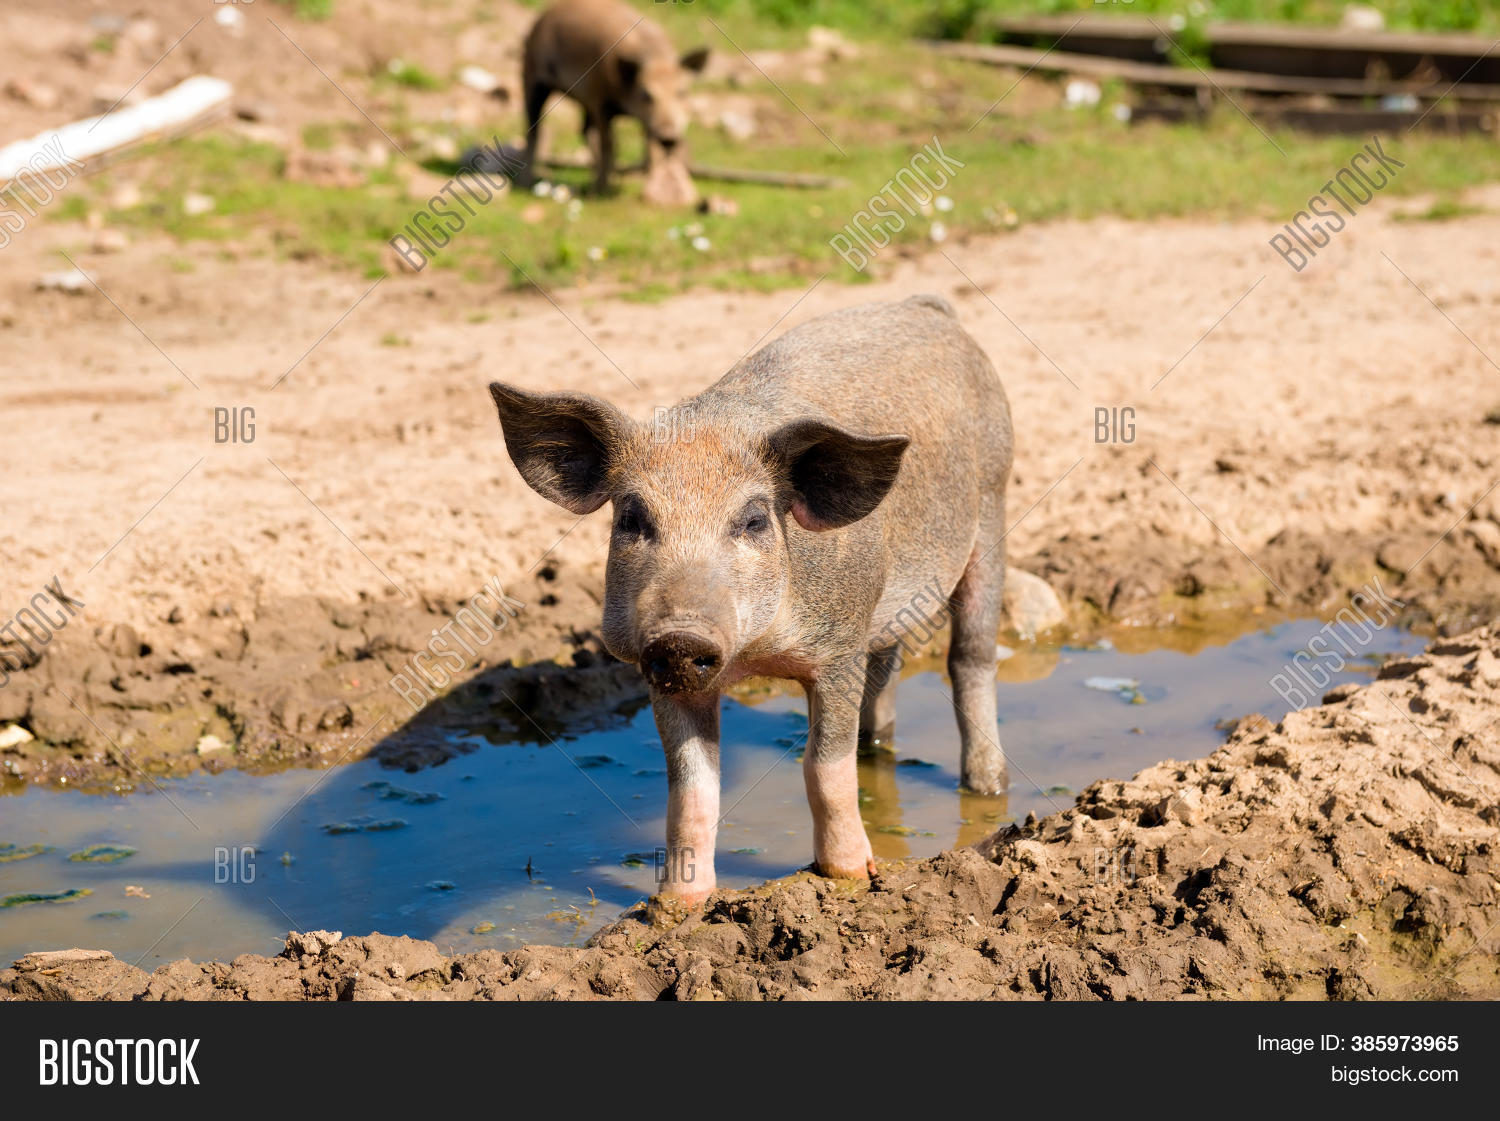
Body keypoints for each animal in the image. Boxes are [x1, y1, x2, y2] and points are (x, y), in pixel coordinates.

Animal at [488, 294, 1013, 904]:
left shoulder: (838, 648)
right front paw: (675, 906)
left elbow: (824, 770)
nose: (680, 634)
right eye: (631, 518)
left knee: (970, 657)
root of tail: (926, 307)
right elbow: (692, 789)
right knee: (888, 667)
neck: (755, 652)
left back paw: (986, 788)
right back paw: (877, 749)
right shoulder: (666, 675)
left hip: (992, 503)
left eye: (756, 519)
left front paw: (851, 880)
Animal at [519, 0, 710, 197]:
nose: (668, 135)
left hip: (584, 102)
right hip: (530, 74)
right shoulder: (600, 98)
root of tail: (542, 16)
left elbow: (648, 144)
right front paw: (602, 192)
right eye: (645, 94)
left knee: (584, 130)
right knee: (534, 129)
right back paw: (526, 184)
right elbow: (608, 143)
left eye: (683, 92)